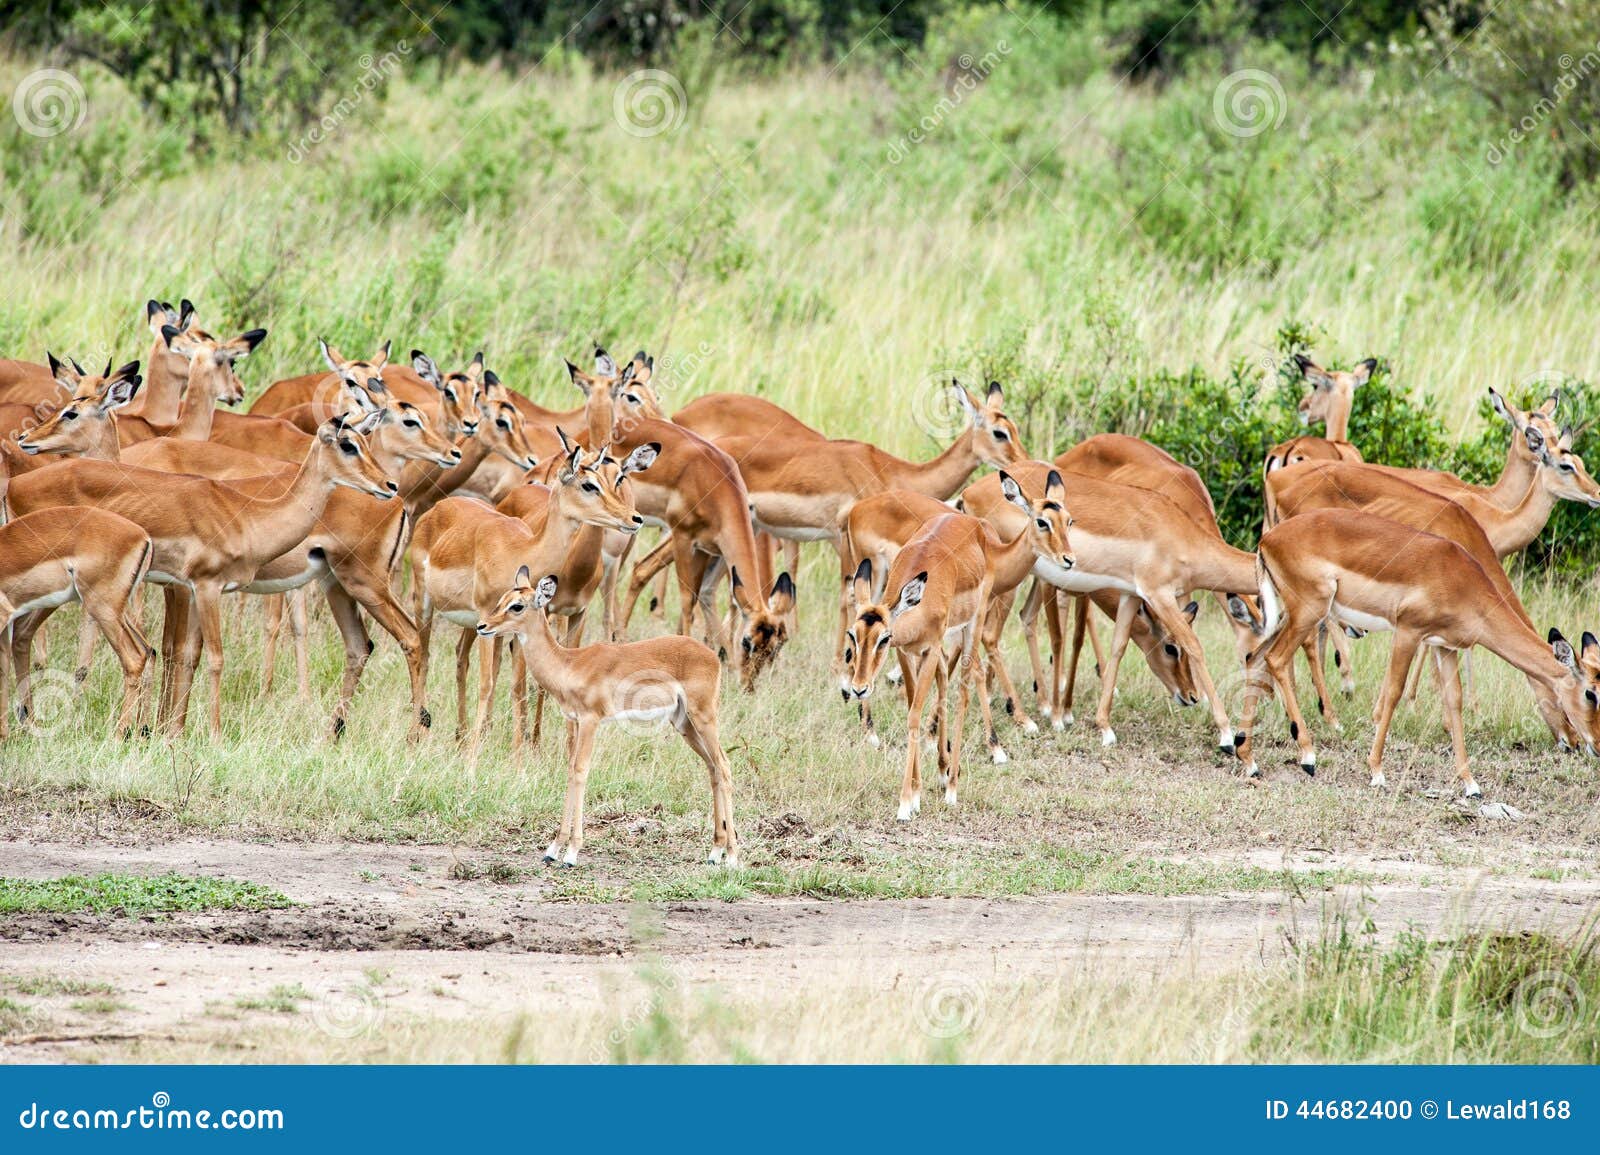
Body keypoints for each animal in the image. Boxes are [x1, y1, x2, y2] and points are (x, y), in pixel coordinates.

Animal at [0, 505, 155, 739]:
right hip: (114, 611)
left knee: (135, 658)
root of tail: (142, 536)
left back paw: (119, 735)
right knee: (149, 651)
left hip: (103, 610)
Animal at [409, 438, 658, 749]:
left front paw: (519, 750)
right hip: (427, 605)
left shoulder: (518, 627)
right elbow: (487, 684)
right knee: (423, 657)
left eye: (618, 478)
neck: (519, 550)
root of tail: (436, 509)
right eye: (589, 484)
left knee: (459, 658)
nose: (634, 518)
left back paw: (461, 734)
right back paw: (419, 734)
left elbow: (518, 686)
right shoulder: (488, 618)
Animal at [476, 569, 739, 867]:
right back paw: (714, 852)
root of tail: (712, 656)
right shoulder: (576, 721)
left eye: (517, 606)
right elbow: (570, 770)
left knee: (724, 766)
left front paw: (572, 853)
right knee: (713, 768)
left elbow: (580, 771)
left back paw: (732, 857)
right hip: (684, 723)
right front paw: (553, 849)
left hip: (704, 716)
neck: (568, 664)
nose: (482, 626)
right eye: (501, 599)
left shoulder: (591, 721)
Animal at [1233, 509, 1600, 797]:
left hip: (1288, 617)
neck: (1463, 580)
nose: (1592, 745)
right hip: (1309, 612)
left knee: (1256, 658)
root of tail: (1267, 541)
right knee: (1276, 659)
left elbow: (1454, 702)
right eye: (1590, 693)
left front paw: (1471, 785)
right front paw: (1376, 772)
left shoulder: (1445, 646)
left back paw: (1249, 760)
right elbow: (1394, 693)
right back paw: (1308, 758)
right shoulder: (1408, 633)